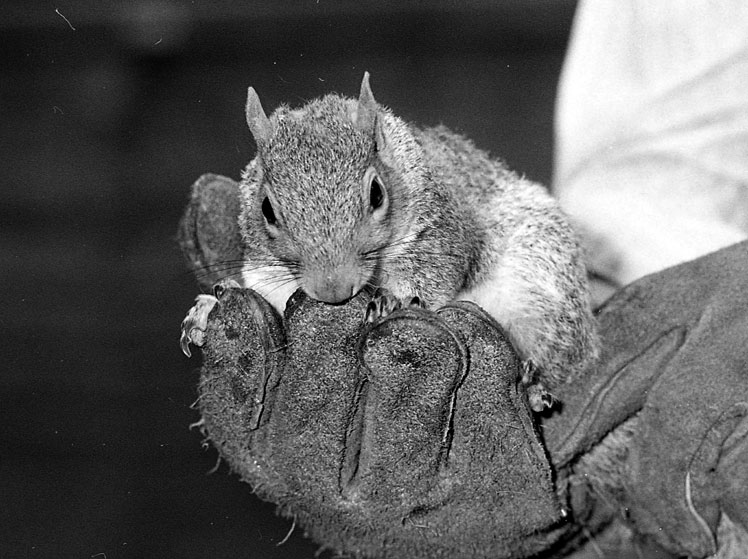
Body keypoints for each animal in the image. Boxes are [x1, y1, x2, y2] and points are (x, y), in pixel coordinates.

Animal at [181, 72, 599, 410]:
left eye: (376, 194)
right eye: (266, 209)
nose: (333, 291)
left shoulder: (443, 233)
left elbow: (433, 278)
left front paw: (393, 299)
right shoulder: (267, 266)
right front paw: (208, 309)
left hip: (542, 283)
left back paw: (532, 385)